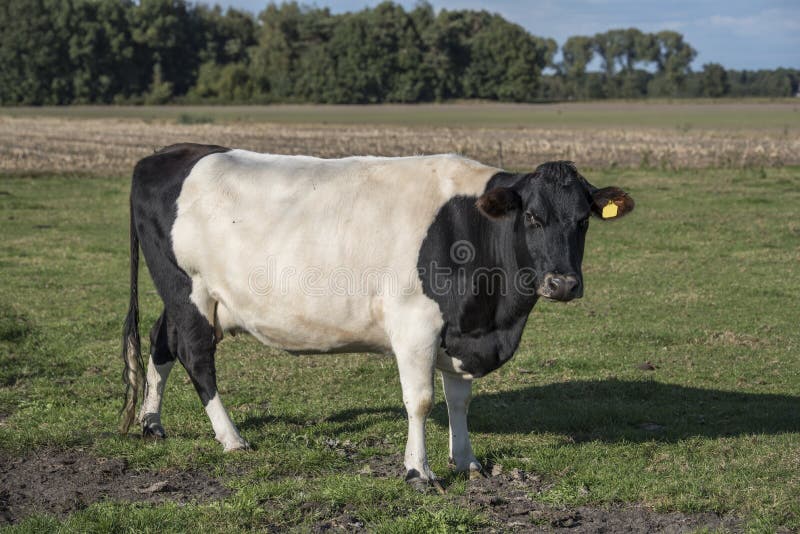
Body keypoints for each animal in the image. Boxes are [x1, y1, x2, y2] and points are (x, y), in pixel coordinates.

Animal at [120, 143, 634, 491]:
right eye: (531, 218)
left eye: (583, 220)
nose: (563, 283)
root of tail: (165, 155)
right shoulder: (415, 325)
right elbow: (421, 401)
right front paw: (418, 471)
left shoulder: (462, 329)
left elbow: (459, 401)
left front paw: (466, 461)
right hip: (188, 289)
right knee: (195, 356)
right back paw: (231, 437)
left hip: (186, 297)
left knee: (161, 342)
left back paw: (152, 423)